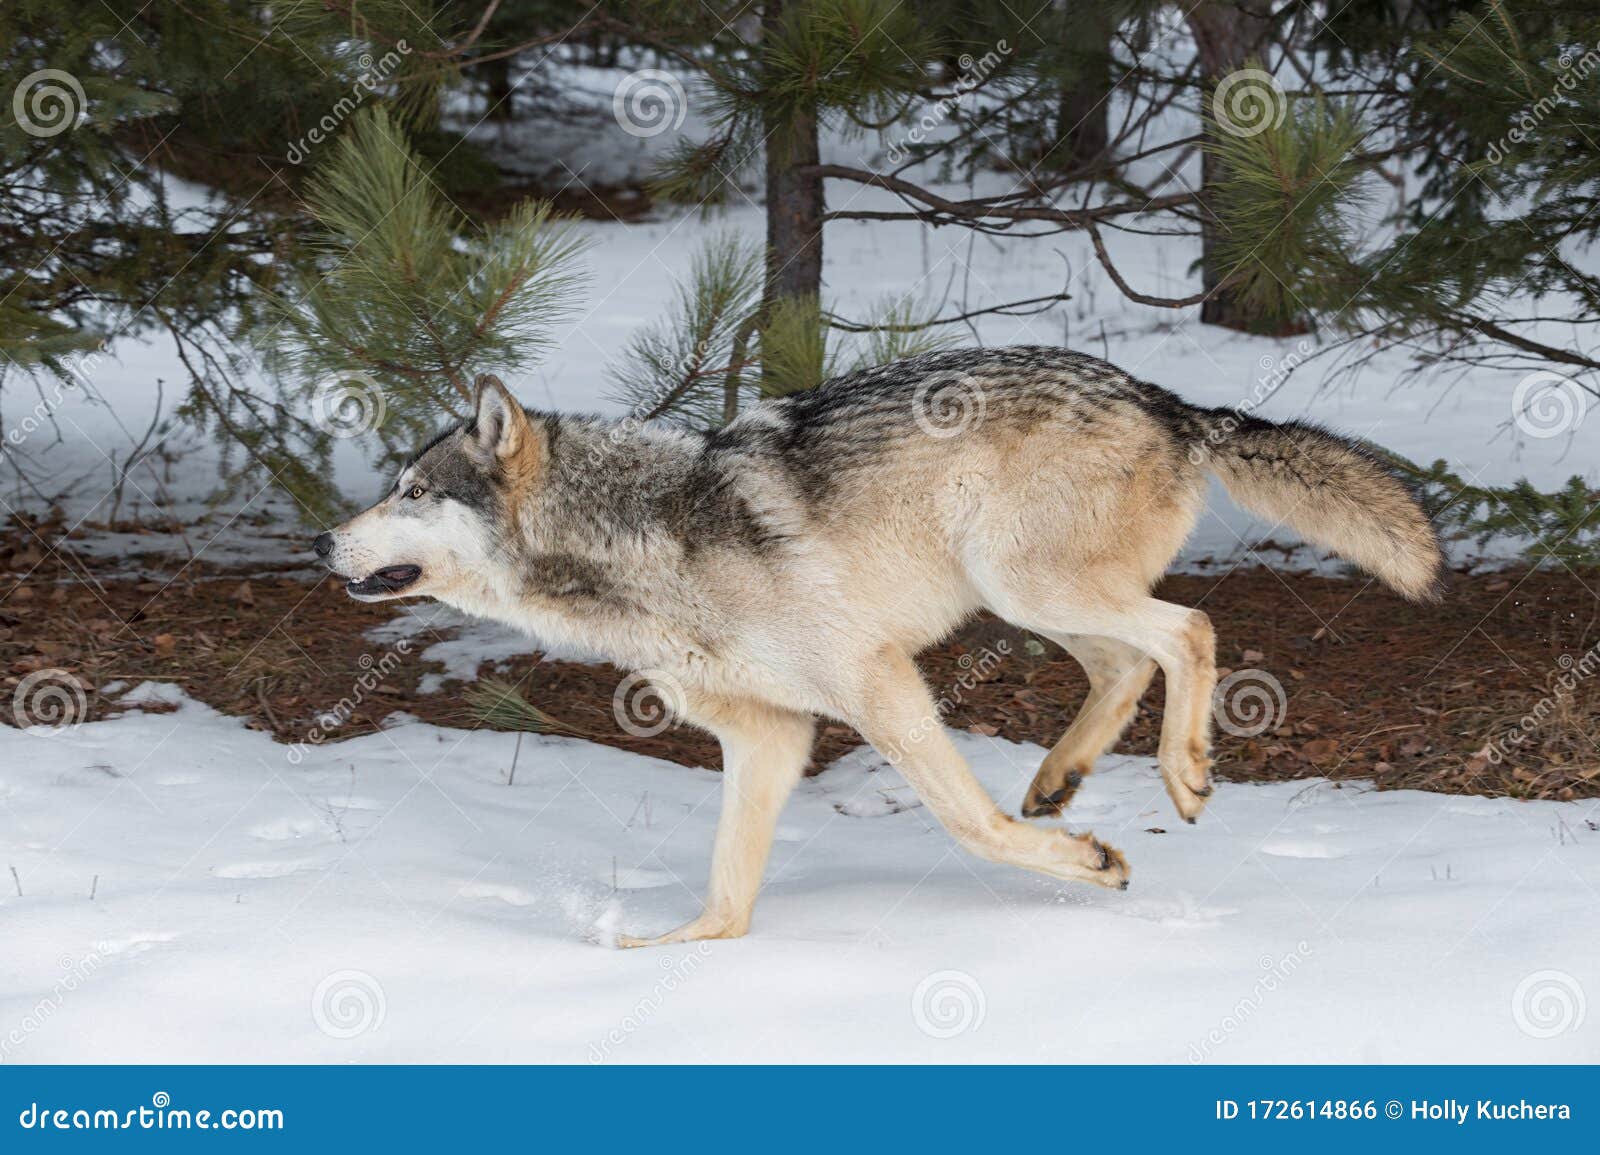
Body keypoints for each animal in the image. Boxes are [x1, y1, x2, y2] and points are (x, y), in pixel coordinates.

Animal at [313, 347, 1443, 947]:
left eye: (409, 492)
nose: (323, 544)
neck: (636, 545)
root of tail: (1164, 400)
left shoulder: (877, 685)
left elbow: (970, 826)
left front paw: (1089, 866)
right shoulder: (768, 737)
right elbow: (724, 900)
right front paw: (656, 960)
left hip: (1024, 583)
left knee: (1190, 630)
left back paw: (1183, 775)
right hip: (1032, 598)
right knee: (1125, 662)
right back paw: (1058, 779)